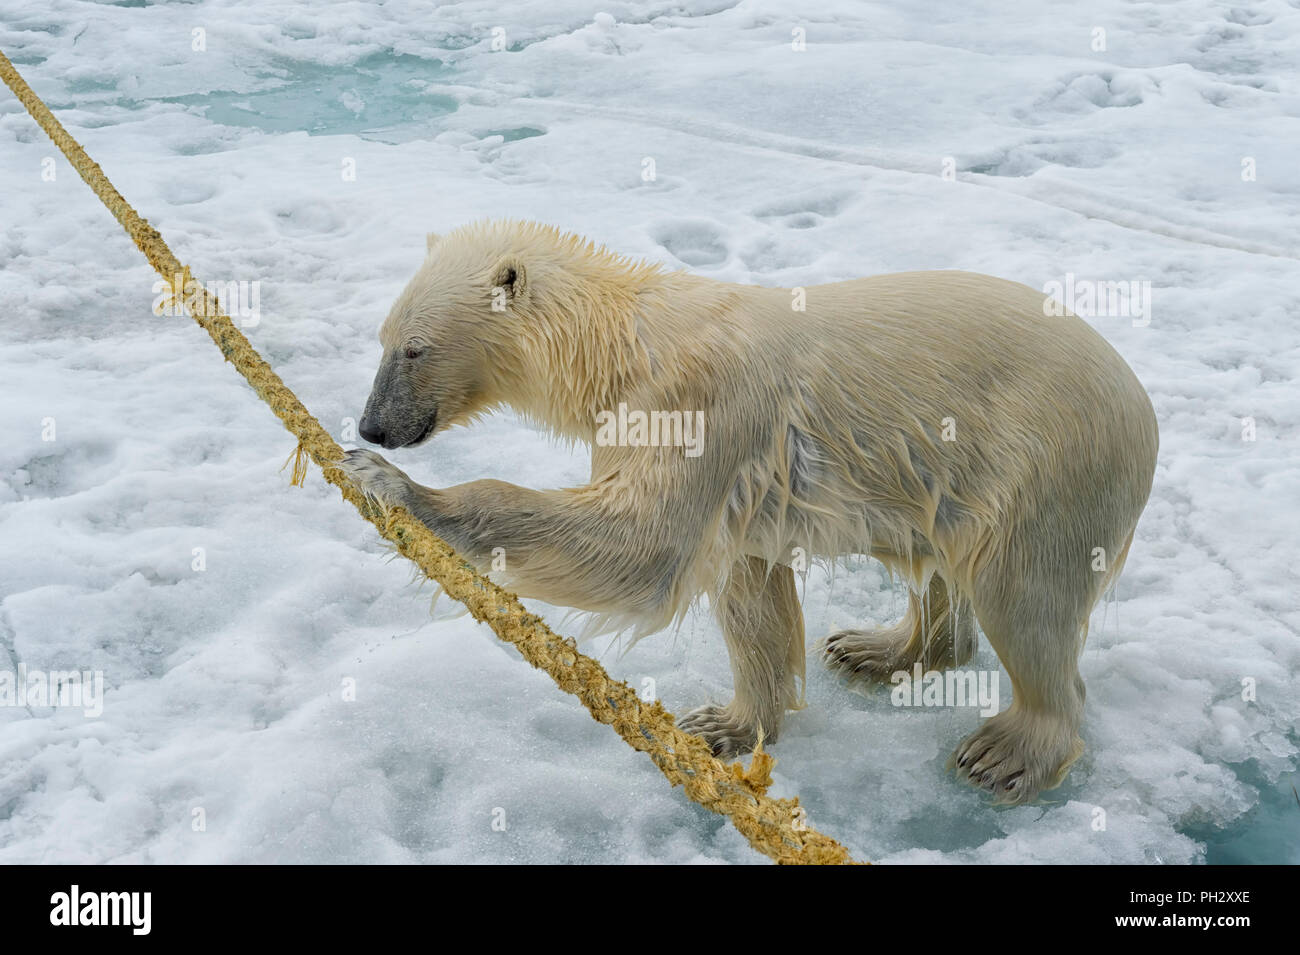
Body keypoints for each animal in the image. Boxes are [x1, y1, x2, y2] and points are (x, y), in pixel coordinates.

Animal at [337, 219, 1159, 805]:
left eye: (413, 348)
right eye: (382, 339)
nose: (373, 427)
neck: (625, 340)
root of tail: (1141, 403)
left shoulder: (697, 406)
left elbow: (641, 548)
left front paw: (395, 487)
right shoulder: (736, 479)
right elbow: (746, 589)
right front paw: (721, 726)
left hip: (1045, 462)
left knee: (1024, 592)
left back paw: (1005, 753)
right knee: (938, 558)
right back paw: (876, 649)